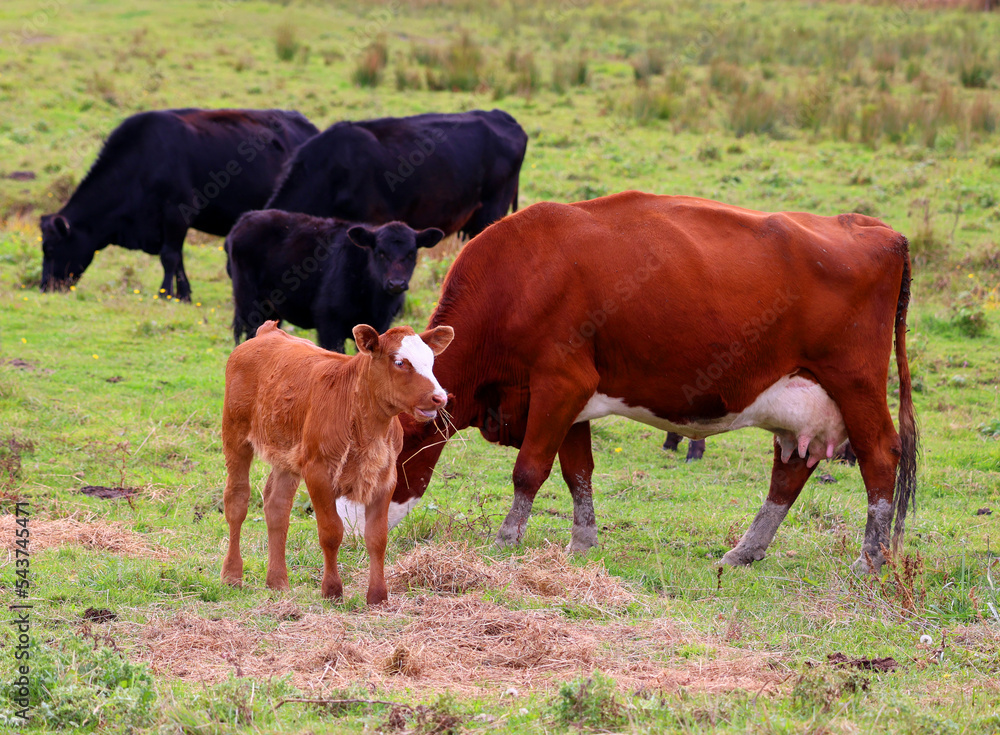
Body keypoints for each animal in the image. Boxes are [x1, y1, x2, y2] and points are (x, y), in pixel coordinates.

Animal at [40, 108, 319, 300]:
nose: (44, 287)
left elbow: (169, 256)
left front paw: (165, 293)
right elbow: (179, 257)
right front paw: (183, 294)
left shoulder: (176, 212)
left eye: (50, 249)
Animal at [220, 320, 454, 605]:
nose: (439, 397)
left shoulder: (385, 477)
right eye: (400, 362)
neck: (366, 427)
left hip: (287, 455)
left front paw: (377, 596)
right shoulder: (317, 472)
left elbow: (378, 537)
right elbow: (331, 532)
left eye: (431, 361)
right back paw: (232, 575)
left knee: (277, 507)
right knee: (237, 500)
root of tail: (269, 331)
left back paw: (277, 582)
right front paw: (332, 590)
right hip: (235, 434)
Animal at [226, 210, 444, 352]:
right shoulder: (329, 322)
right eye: (380, 252)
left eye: (411, 253)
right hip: (249, 302)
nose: (396, 283)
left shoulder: (381, 324)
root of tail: (246, 218)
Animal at [385, 192, 917, 575]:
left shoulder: (561, 382)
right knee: (789, 471)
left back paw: (869, 559)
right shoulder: (572, 398)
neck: (518, 279)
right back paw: (745, 551)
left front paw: (505, 541)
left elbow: (529, 470)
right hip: (801, 400)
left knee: (880, 456)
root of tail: (877, 228)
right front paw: (583, 543)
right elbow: (578, 472)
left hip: (855, 384)